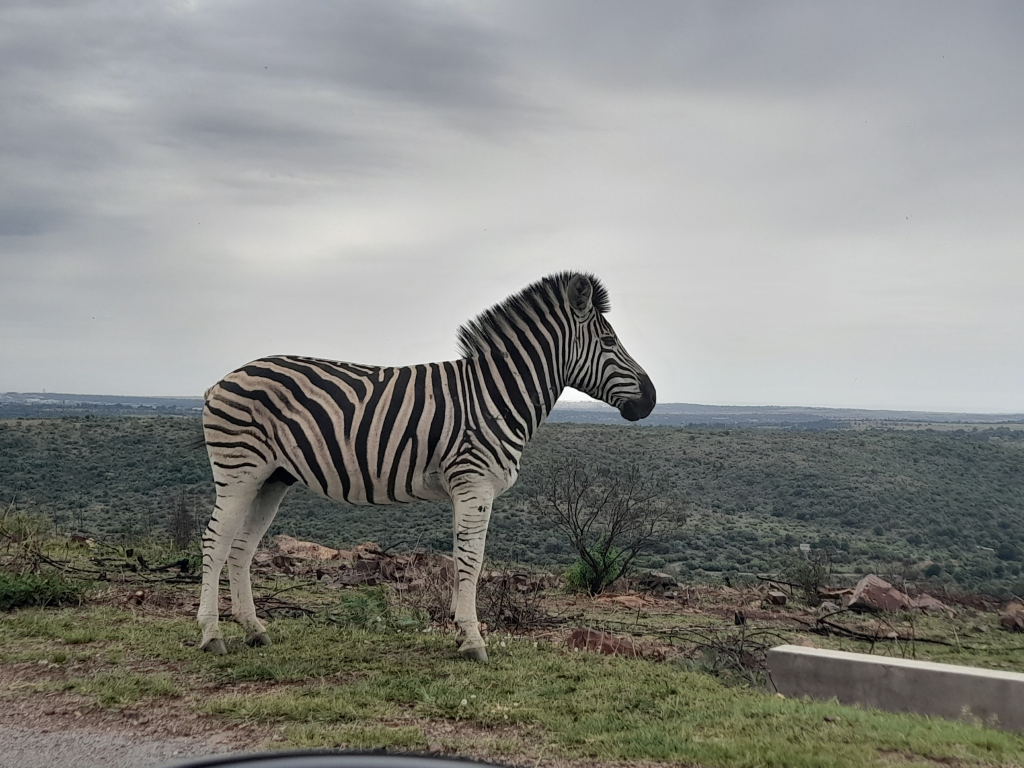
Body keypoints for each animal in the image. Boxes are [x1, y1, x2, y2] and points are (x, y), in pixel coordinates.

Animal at [197, 271, 655, 661]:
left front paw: (459, 630)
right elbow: (472, 561)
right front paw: (472, 640)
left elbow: (459, 558)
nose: (651, 399)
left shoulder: (463, 488)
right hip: (239, 470)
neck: (494, 395)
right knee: (215, 542)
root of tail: (220, 381)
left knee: (240, 549)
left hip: (272, 478)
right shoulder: (475, 484)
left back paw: (254, 630)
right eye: (609, 342)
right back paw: (211, 635)